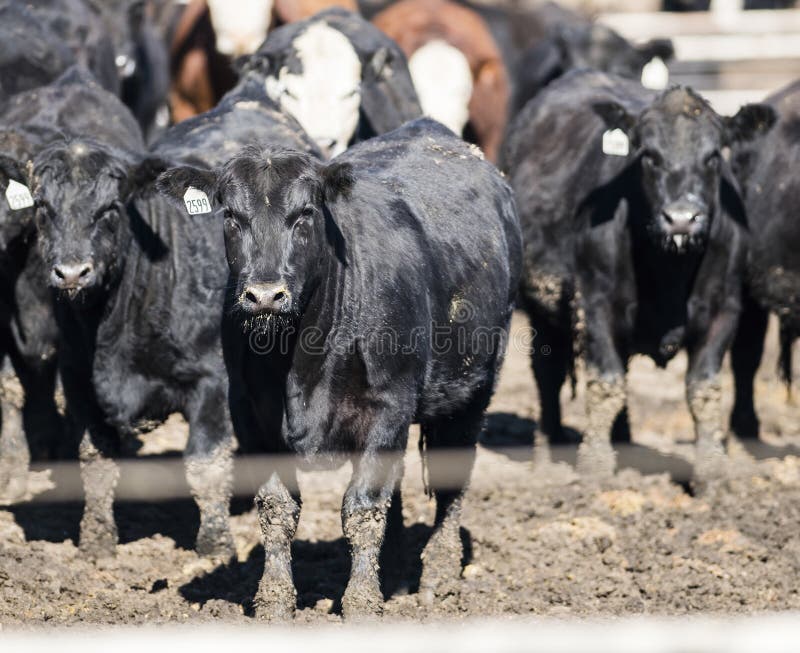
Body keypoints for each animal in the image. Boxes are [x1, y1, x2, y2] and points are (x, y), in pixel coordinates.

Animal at [157, 118, 522, 619]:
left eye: (305, 213)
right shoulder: (249, 414)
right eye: (230, 215)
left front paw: (362, 603)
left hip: (474, 388)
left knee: (453, 483)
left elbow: (363, 508)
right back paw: (397, 574)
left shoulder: (388, 405)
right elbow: (277, 507)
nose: (265, 295)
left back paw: (439, 577)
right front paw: (275, 602)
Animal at [501, 70, 775, 484]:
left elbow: (704, 388)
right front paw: (595, 469)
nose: (681, 218)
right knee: (548, 375)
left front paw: (711, 472)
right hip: (540, 307)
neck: (669, 270)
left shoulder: (724, 308)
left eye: (713, 156)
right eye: (648, 156)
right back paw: (549, 453)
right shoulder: (593, 304)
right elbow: (605, 384)